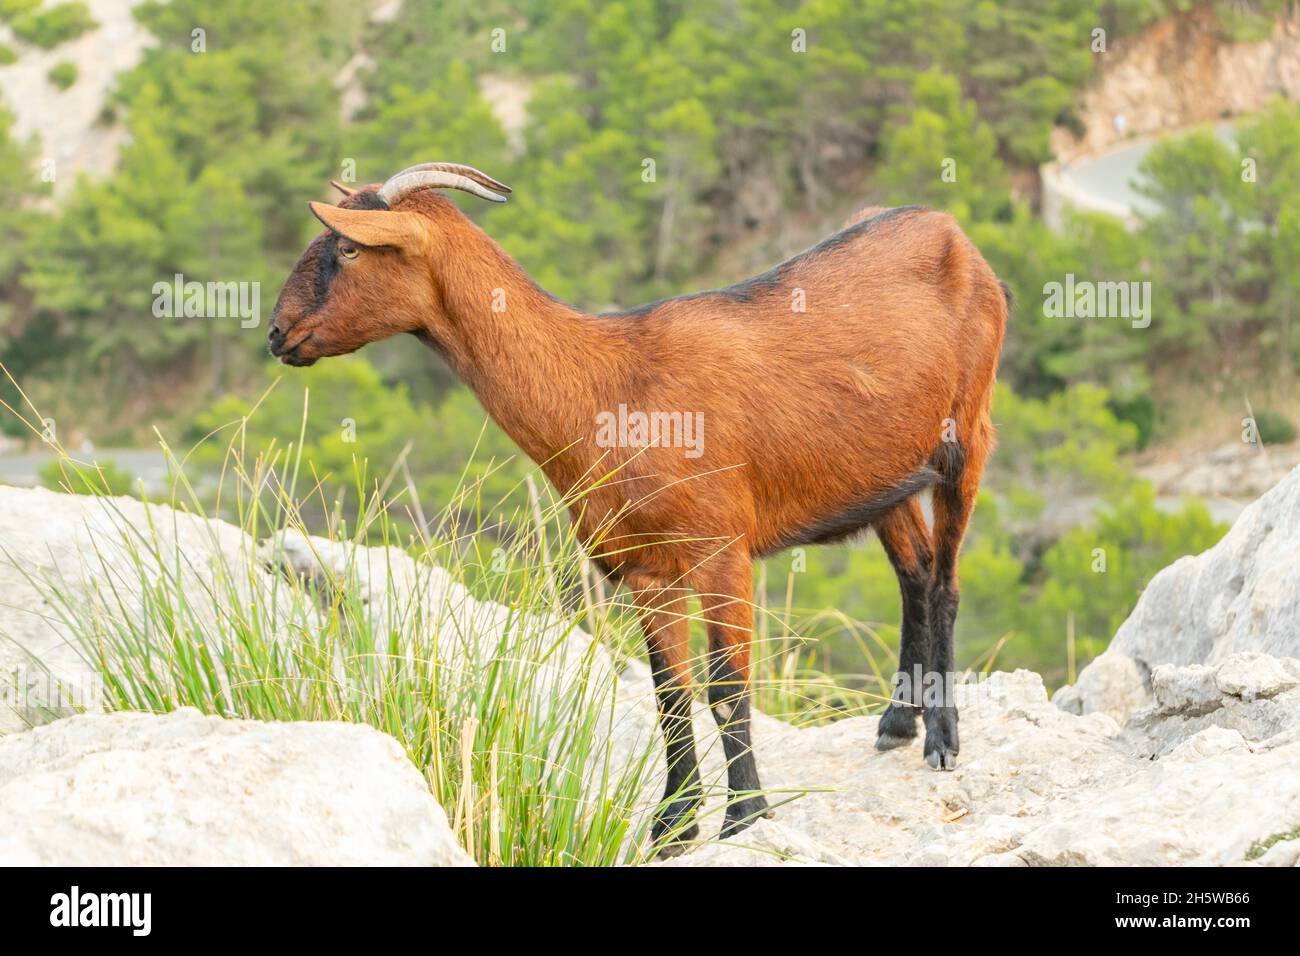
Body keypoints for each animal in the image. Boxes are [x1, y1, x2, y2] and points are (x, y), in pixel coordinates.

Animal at [268, 162, 1008, 855]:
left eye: (349, 247)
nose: (277, 332)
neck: (606, 385)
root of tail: (950, 230)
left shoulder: (722, 553)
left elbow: (726, 690)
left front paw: (746, 816)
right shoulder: (646, 572)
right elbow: (670, 697)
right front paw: (674, 826)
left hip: (966, 435)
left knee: (944, 581)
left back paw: (942, 739)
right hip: (885, 475)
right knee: (914, 573)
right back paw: (897, 723)